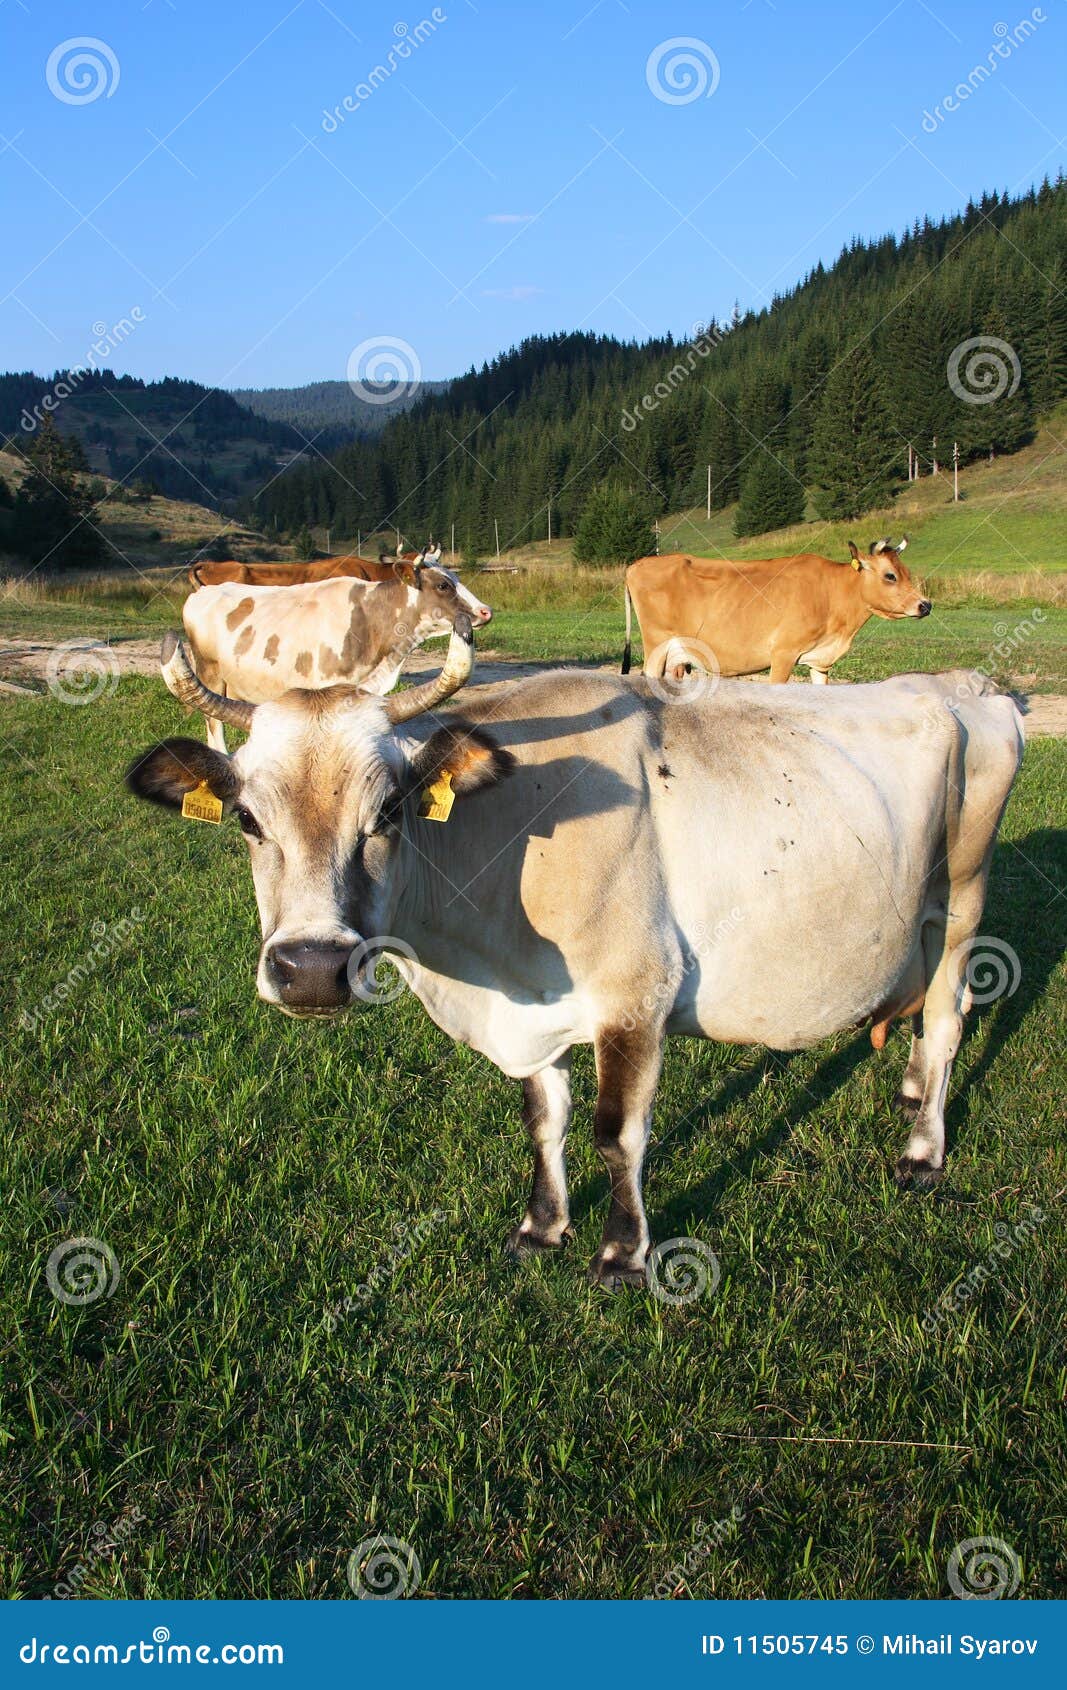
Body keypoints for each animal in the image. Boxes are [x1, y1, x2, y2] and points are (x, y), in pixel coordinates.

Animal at [126, 628, 1023, 1289]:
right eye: (246, 819)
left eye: (389, 812)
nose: (311, 966)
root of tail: (965, 685)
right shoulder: (528, 1012)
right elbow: (543, 1120)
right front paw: (542, 1224)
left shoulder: (636, 995)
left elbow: (614, 1133)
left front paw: (621, 1253)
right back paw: (909, 1091)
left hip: (961, 902)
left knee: (947, 1020)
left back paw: (922, 1152)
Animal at [622, 539, 932, 684]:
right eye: (890, 575)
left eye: (907, 572)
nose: (925, 605)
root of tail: (636, 565)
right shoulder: (783, 653)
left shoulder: (822, 661)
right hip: (657, 645)